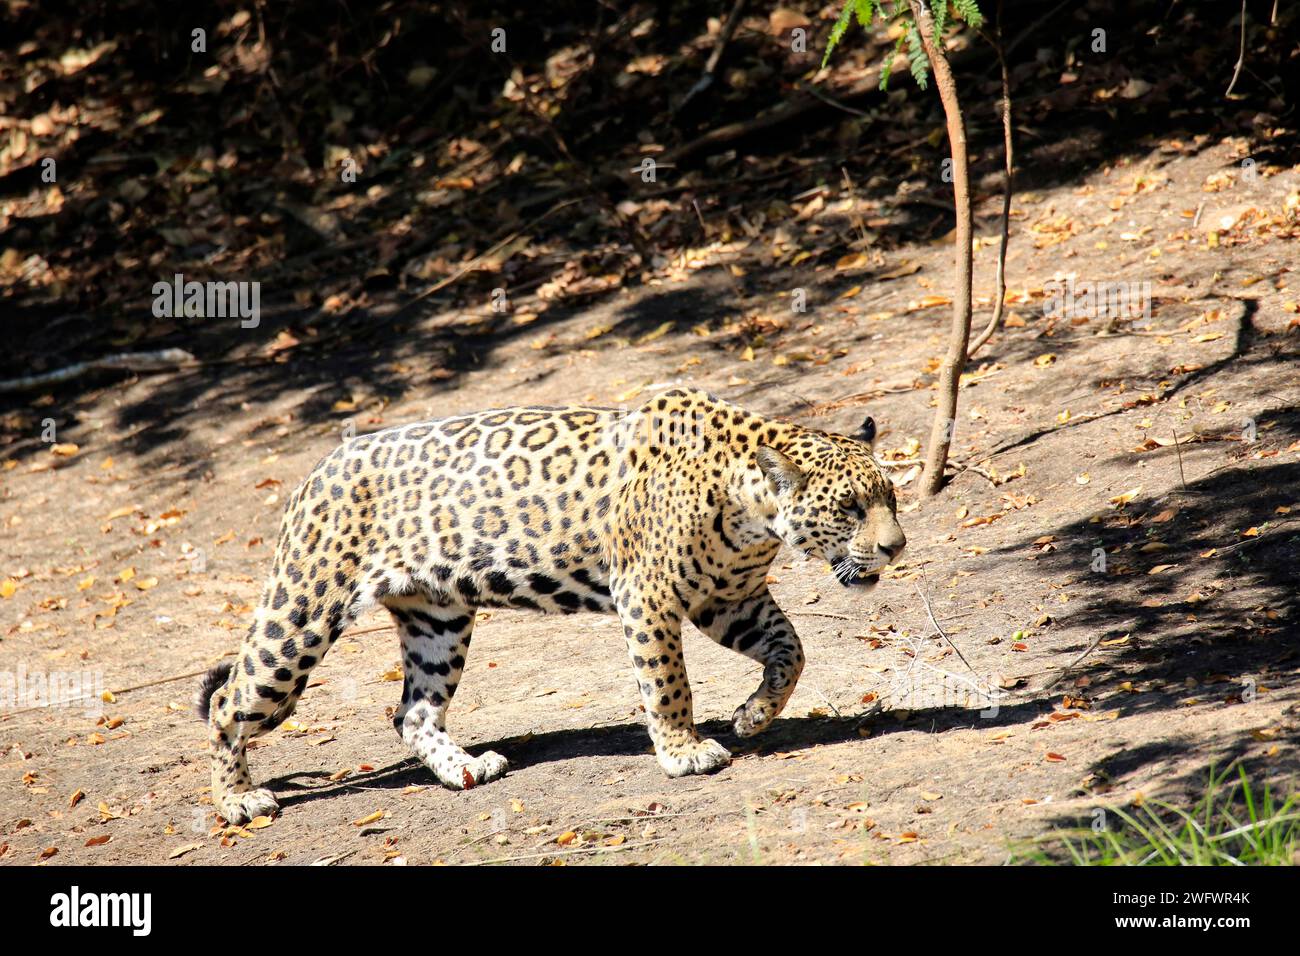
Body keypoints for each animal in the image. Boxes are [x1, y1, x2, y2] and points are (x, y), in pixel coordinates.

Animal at [197, 386, 906, 824]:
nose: (895, 546)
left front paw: (754, 716)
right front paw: (684, 752)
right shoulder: (647, 596)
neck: (752, 512)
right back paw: (237, 802)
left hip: (437, 618)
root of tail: (313, 473)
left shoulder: (729, 599)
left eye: (890, 497)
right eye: (850, 508)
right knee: (231, 699)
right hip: (302, 614)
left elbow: (792, 650)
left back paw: (465, 770)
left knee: (412, 712)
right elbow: (668, 683)